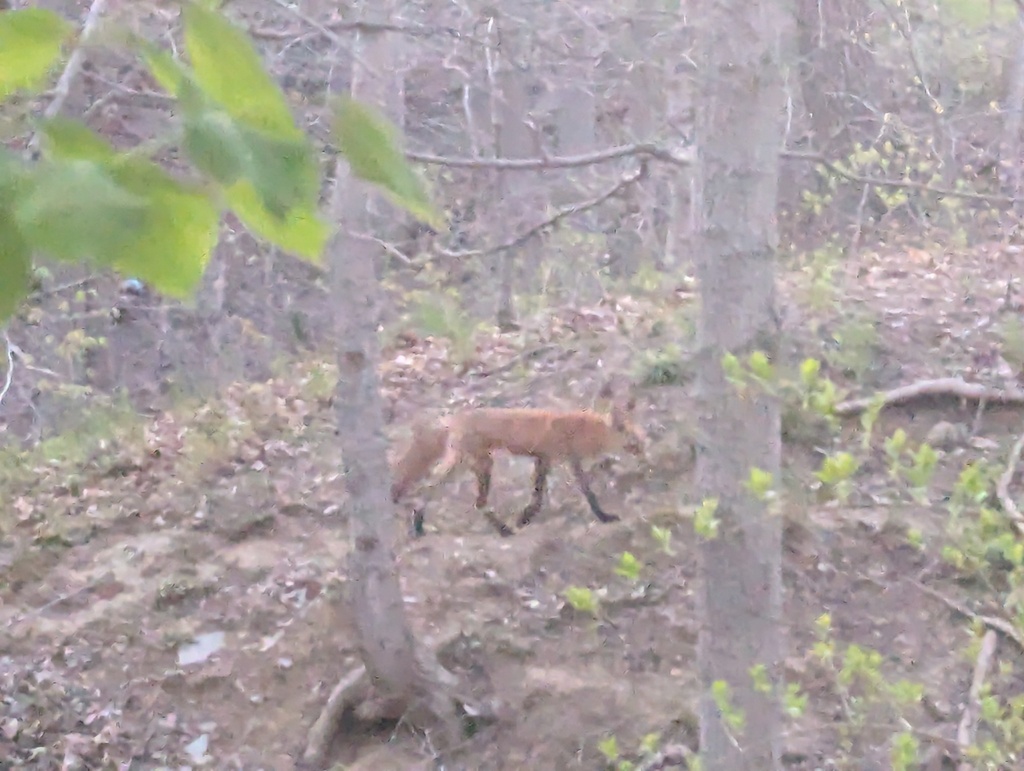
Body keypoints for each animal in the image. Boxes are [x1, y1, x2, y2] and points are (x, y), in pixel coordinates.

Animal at [389, 382, 647, 537]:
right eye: (635, 443)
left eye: (642, 442)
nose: (646, 460)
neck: (586, 431)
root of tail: (454, 418)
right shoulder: (556, 458)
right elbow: (580, 493)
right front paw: (603, 517)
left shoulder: (550, 460)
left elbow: (542, 494)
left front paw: (526, 516)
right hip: (482, 466)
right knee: (469, 500)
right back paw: (502, 530)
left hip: (468, 466)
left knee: (431, 488)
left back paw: (419, 524)